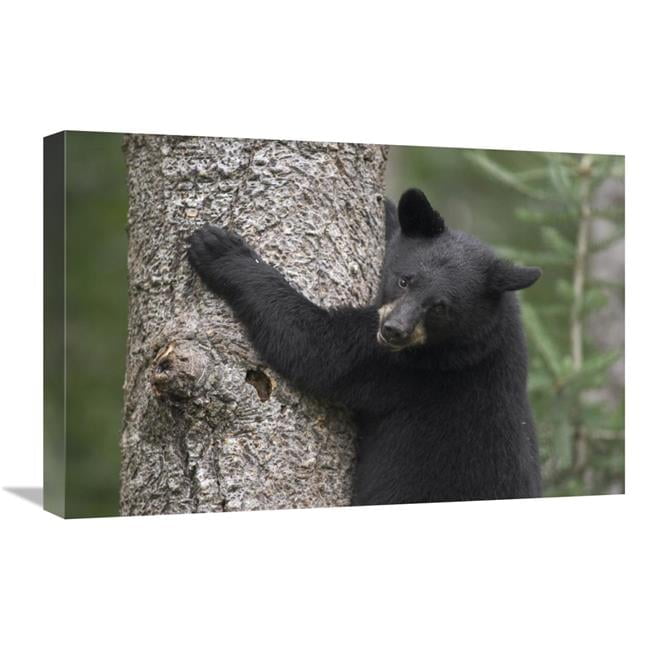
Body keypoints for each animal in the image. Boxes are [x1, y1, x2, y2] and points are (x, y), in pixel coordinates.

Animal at [188, 188, 542, 505]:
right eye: (404, 279)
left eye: (440, 307)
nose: (394, 330)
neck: (485, 333)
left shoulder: (414, 367)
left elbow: (319, 349)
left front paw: (221, 251)